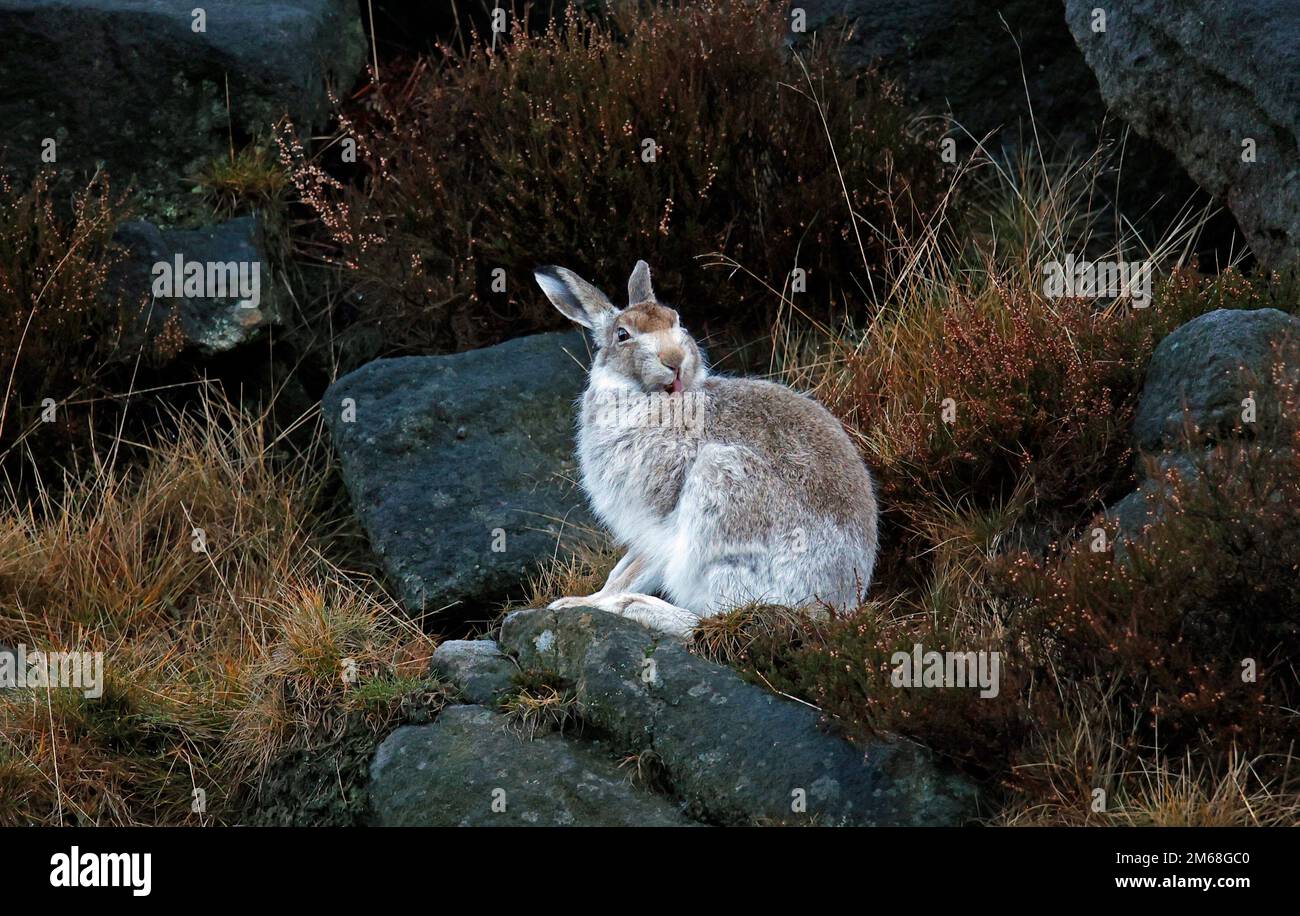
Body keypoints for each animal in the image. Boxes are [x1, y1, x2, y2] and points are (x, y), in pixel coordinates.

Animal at [534, 260, 878, 637]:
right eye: (622, 335)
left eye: (677, 321)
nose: (674, 358)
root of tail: (838, 602)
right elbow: (620, 570)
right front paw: (578, 600)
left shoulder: (659, 515)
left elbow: (633, 571)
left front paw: (580, 604)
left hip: (720, 499)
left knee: (715, 620)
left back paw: (632, 607)